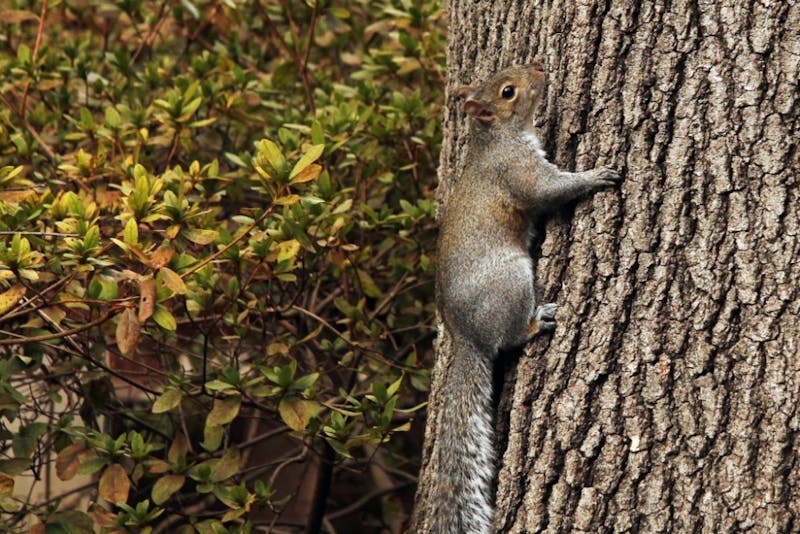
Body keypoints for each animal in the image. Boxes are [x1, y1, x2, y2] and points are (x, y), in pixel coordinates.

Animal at [429, 63, 623, 533]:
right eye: (508, 91)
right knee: (510, 337)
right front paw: (595, 176)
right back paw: (537, 323)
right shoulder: (518, 172)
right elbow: (548, 190)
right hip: (513, 279)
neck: (496, 139)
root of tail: (467, 337)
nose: (538, 66)